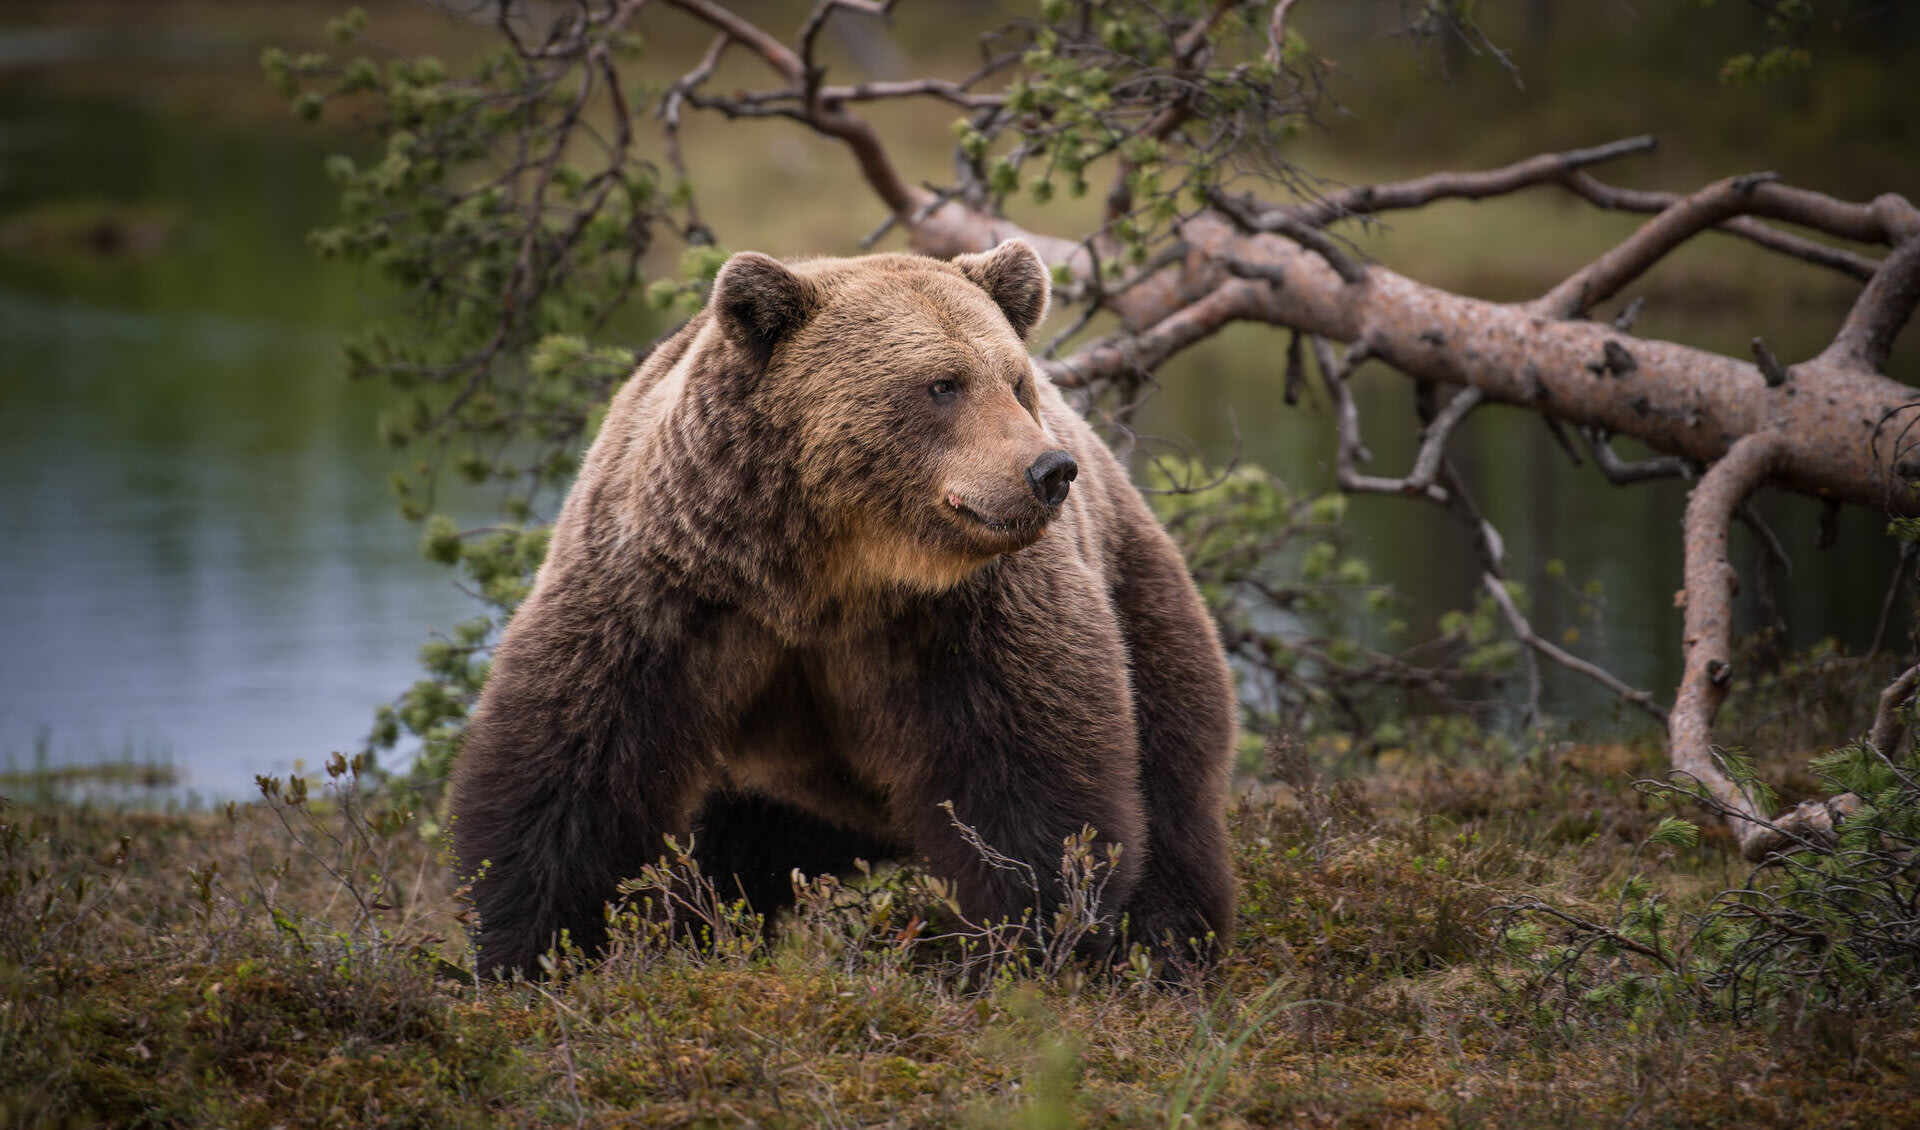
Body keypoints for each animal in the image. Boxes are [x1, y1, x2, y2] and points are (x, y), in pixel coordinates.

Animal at [447, 239, 1237, 979]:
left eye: (1016, 382)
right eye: (942, 383)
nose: (1049, 470)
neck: (825, 571)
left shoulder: (966, 615)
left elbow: (1029, 776)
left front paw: (1024, 941)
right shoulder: (665, 590)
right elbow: (571, 765)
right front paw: (528, 949)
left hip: (1143, 603)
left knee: (1173, 793)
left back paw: (1171, 948)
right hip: (770, 794)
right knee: (723, 856)